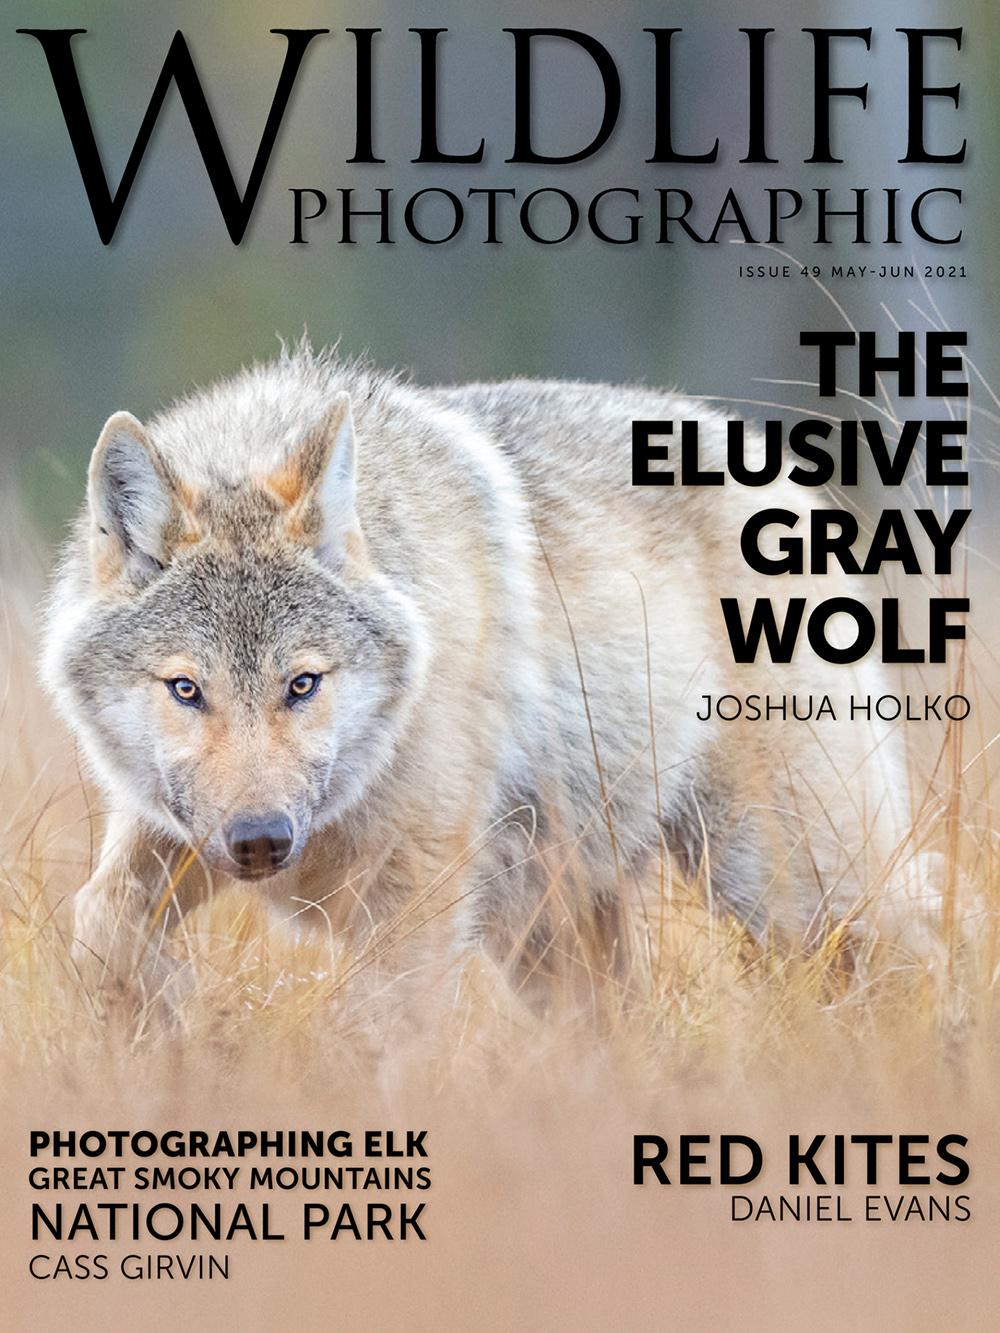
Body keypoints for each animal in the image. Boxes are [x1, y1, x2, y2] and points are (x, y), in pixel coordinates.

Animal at [43, 346, 914, 1009]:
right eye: (186, 689)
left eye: (302, 683)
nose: (261, 840)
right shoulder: (170, 826)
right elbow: (97, 922)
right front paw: (169, 1015)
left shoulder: (415, 902)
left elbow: (376, 1045)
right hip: (553, 936)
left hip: (788, 884)